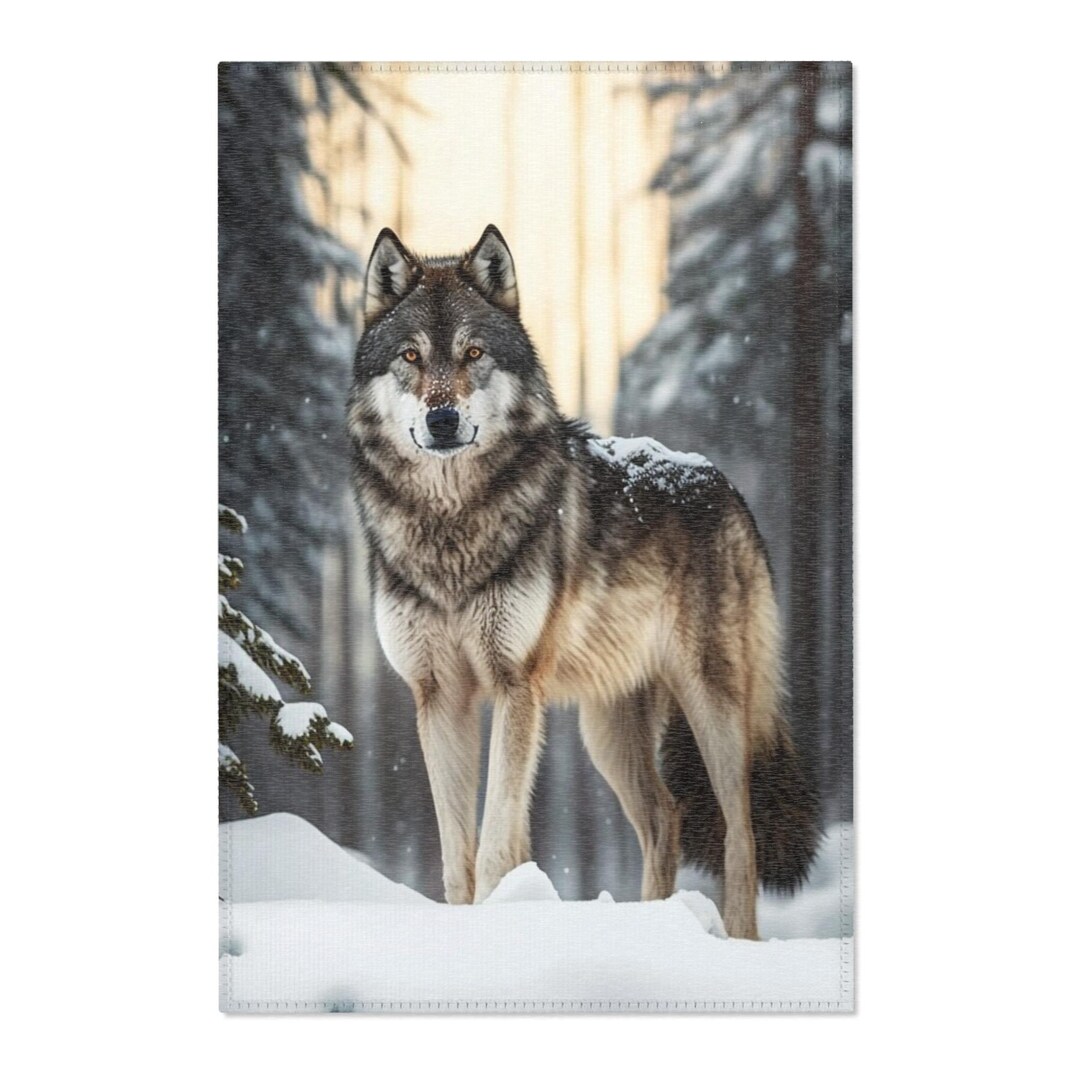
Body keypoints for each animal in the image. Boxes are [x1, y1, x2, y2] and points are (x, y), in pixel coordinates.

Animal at [347, 225, 820, 939]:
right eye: (410, 355)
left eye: (473, 353)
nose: (442, 420)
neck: (450, 523)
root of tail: (727, 486)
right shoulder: (437, 696)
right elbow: (457, 855)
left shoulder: (515, 686)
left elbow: (496, 842)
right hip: (608, 728)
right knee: (665, 818)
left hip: (712, 702)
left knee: (740, 834)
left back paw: (738, 939)